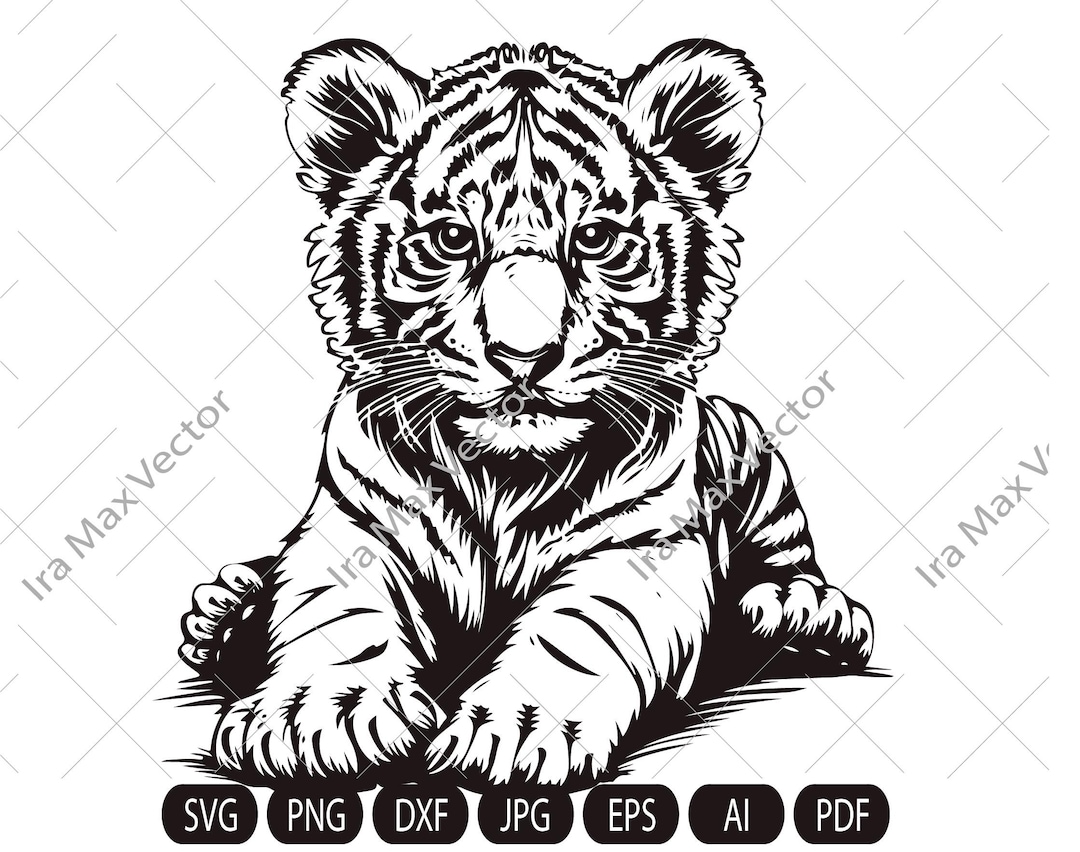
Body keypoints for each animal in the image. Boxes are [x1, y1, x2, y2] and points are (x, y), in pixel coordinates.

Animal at [179, 38, 874, 788]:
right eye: (452, 239)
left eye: (595, 239)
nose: (523, 355)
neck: (505, 474)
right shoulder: (355, 519)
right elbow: (334, 609)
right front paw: (317, 714)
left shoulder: (640, 543)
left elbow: (579, 630)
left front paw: (514, 731)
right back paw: (227, 607)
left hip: (754, 458)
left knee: (789, 555)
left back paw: (802, 609)